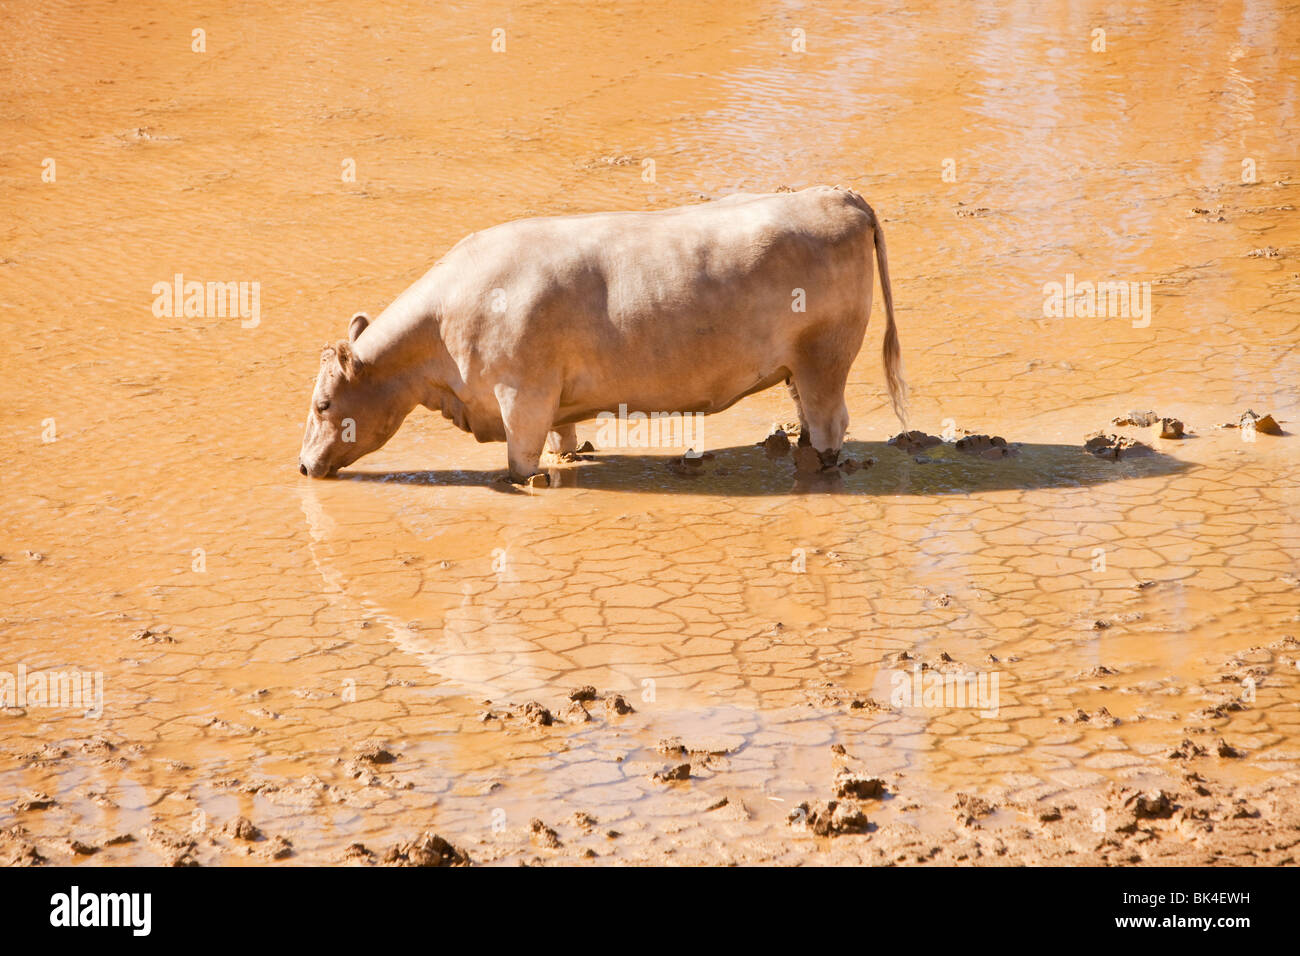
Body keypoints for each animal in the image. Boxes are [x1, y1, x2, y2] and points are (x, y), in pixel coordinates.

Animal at [298, 185, 907, 484]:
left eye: (324, 404)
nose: (302, 466)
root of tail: (837, 194)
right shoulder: (549, 400)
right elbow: (564, 439)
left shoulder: (522, 397)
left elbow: (520, 467)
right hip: (798, 369)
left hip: (825, 359)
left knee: (830, 424)